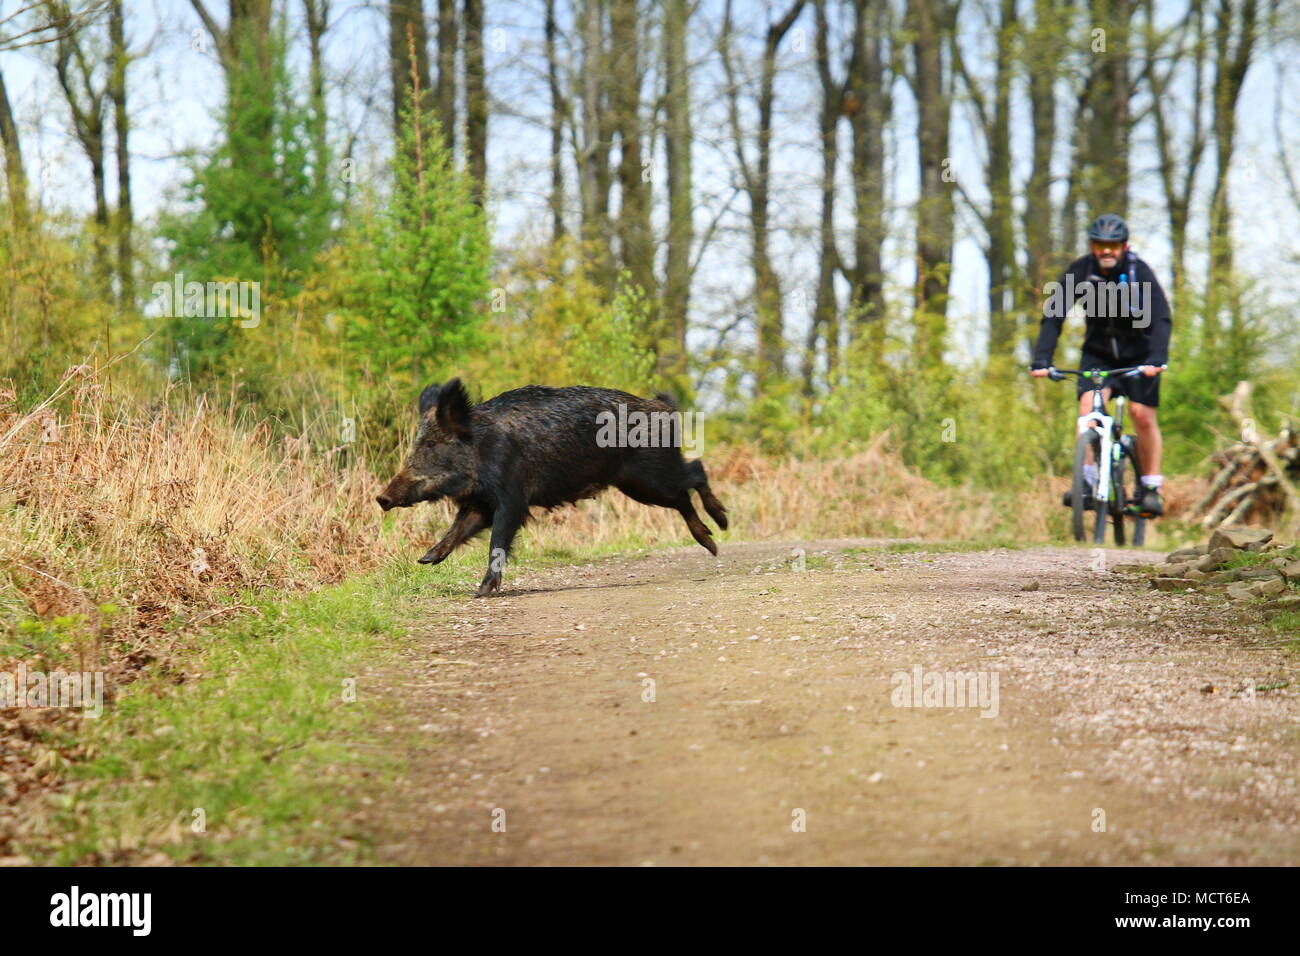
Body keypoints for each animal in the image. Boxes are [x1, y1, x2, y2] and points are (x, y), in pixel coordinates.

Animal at [376, 379, 729, 597]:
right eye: (418, 442)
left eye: (433, 444)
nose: (382, 498)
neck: (482, 447)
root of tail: (666, 407)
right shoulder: (481, 502)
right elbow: (459, 528)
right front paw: (427, 559)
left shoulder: (513, 498)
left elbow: (497, 541)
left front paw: (482, 592)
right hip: (638, 486)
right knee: (683, 496)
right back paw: (712, 544)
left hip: (650, 476)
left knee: (696, 472)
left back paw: (722, 524)